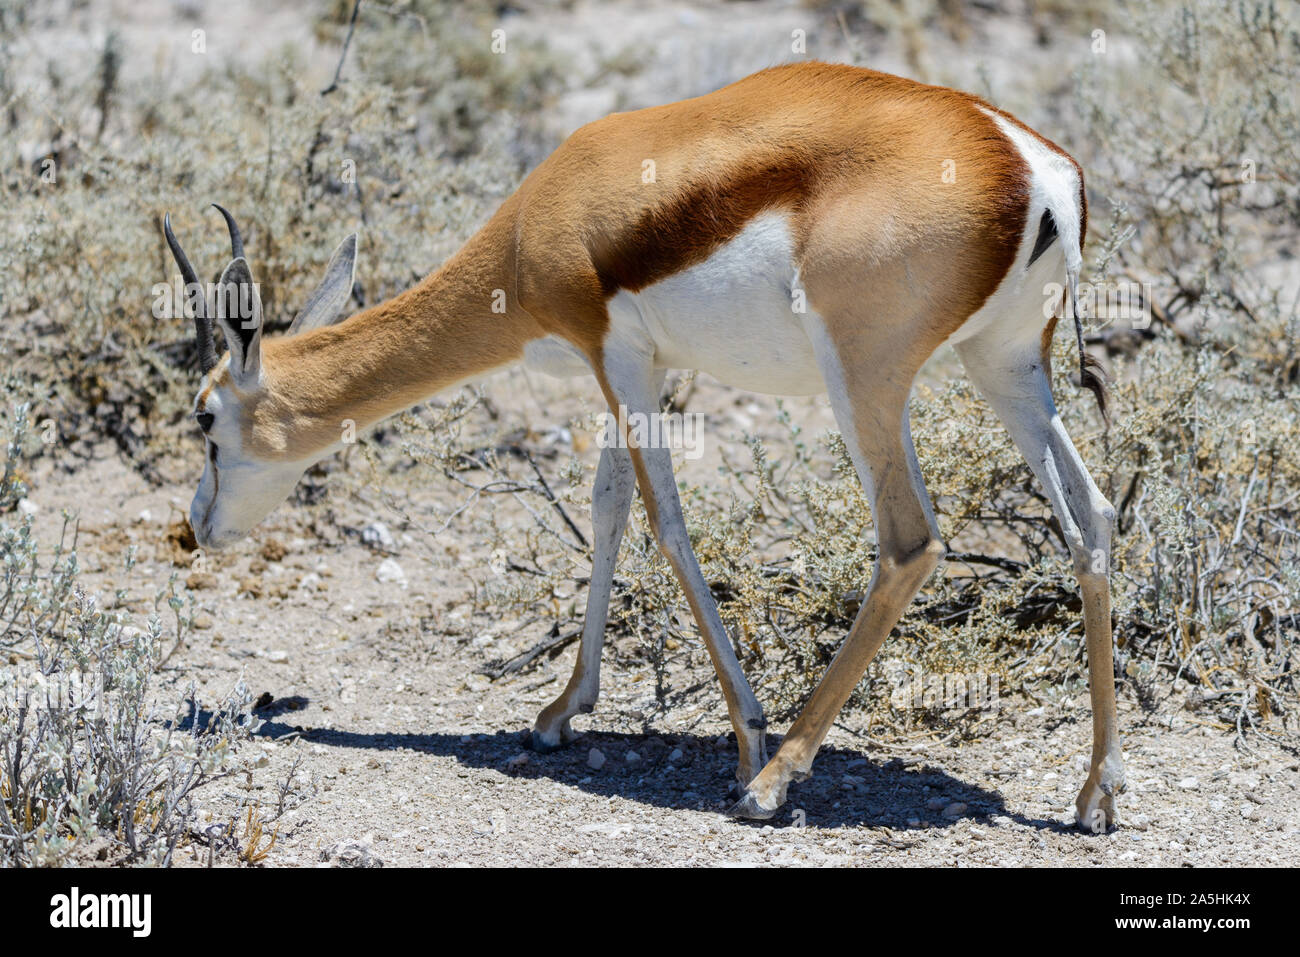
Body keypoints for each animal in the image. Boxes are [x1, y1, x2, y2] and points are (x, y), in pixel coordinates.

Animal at [163, 62, 1124, 830]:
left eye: (205, 421)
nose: (197, 528)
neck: (538, 220)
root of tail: (1029, 162)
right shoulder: (643, 367)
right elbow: (610, 508)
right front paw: (561, 709)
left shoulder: (613, 355)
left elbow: (664, 523)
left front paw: (746, 742)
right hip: (1006, 362)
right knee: (1094, 517)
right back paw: (1095, 797)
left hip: (866, 380)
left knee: (910, 540)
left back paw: (773, 781)